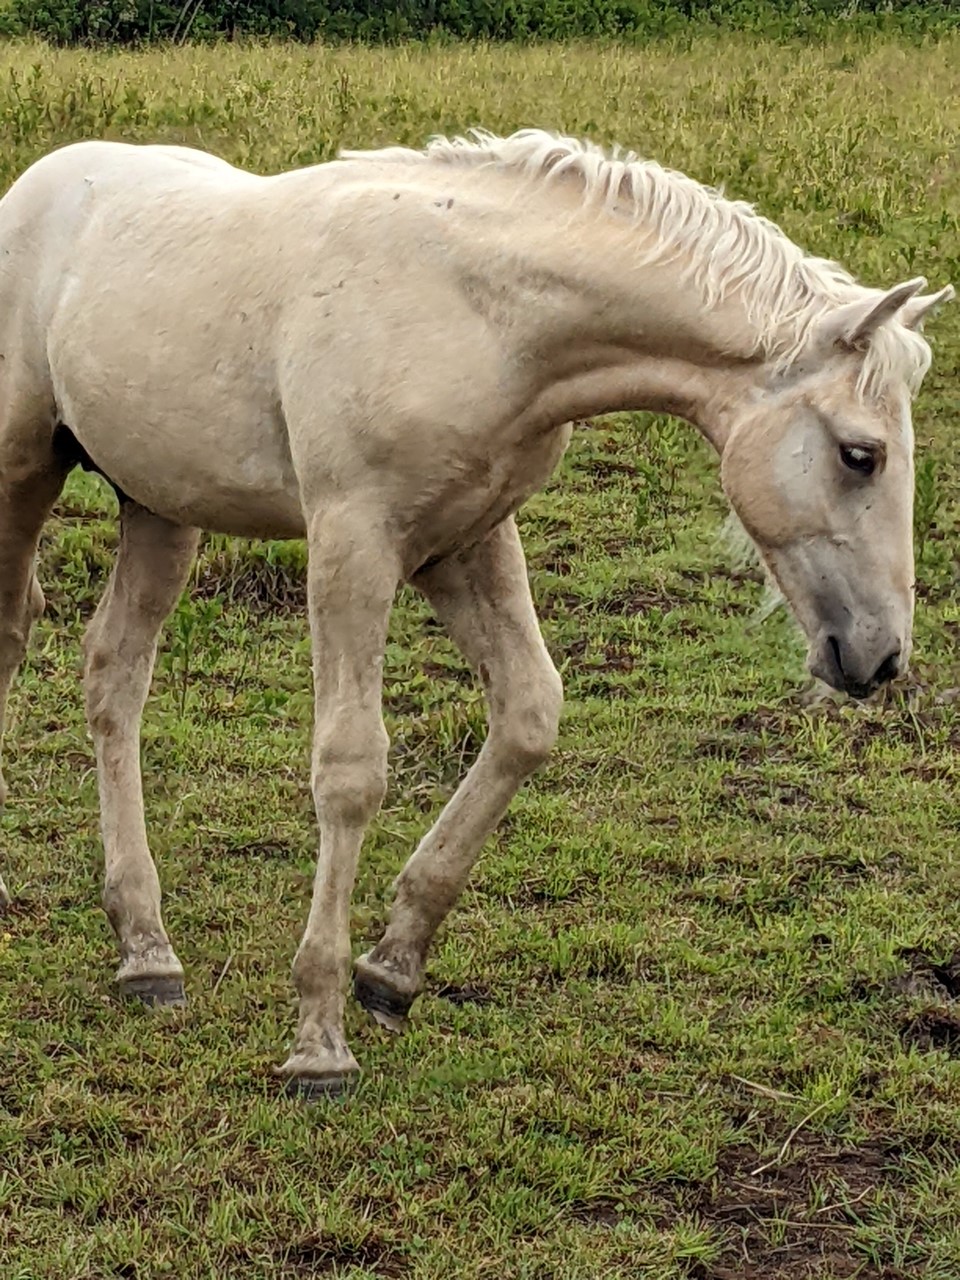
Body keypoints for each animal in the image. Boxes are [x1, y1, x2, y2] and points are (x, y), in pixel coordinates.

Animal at [0, 129, 951, 1098]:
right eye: (862, 454)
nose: (880, 656)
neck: (479, 316)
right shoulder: (354, 542)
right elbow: (350, 771)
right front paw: (318, 1039)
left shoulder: (467, 541)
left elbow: (528, 715)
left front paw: (393, 966)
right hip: (23, 469)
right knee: (15, 633)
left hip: (160, 506)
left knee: (114, 675)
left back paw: (146, 949)